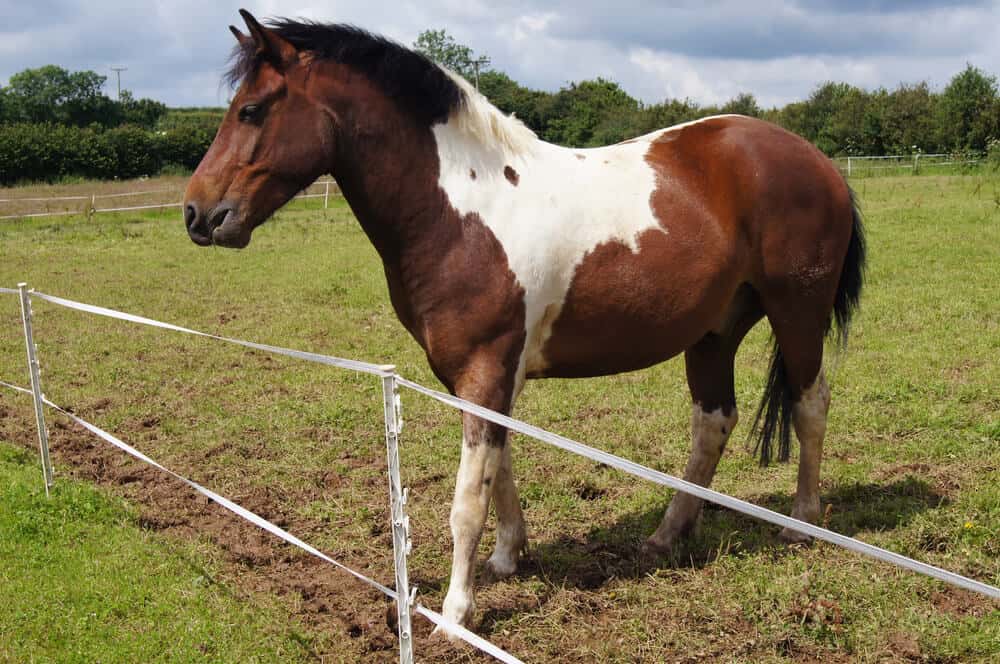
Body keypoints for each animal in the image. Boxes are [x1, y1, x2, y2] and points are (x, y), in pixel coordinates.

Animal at [184, 11, 865, 633]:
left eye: (251, 111)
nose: (197, 213)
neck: (461, 207)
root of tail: (816, 160)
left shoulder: (487, 367)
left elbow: (467, 499)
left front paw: (456, 613)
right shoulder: (482, 374)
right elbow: (500, 465)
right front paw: (510, 556)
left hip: (796, 314)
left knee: (811, 404)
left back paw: (803, 521)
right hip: (714, 332)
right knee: (713, 423)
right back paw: (668, 535)